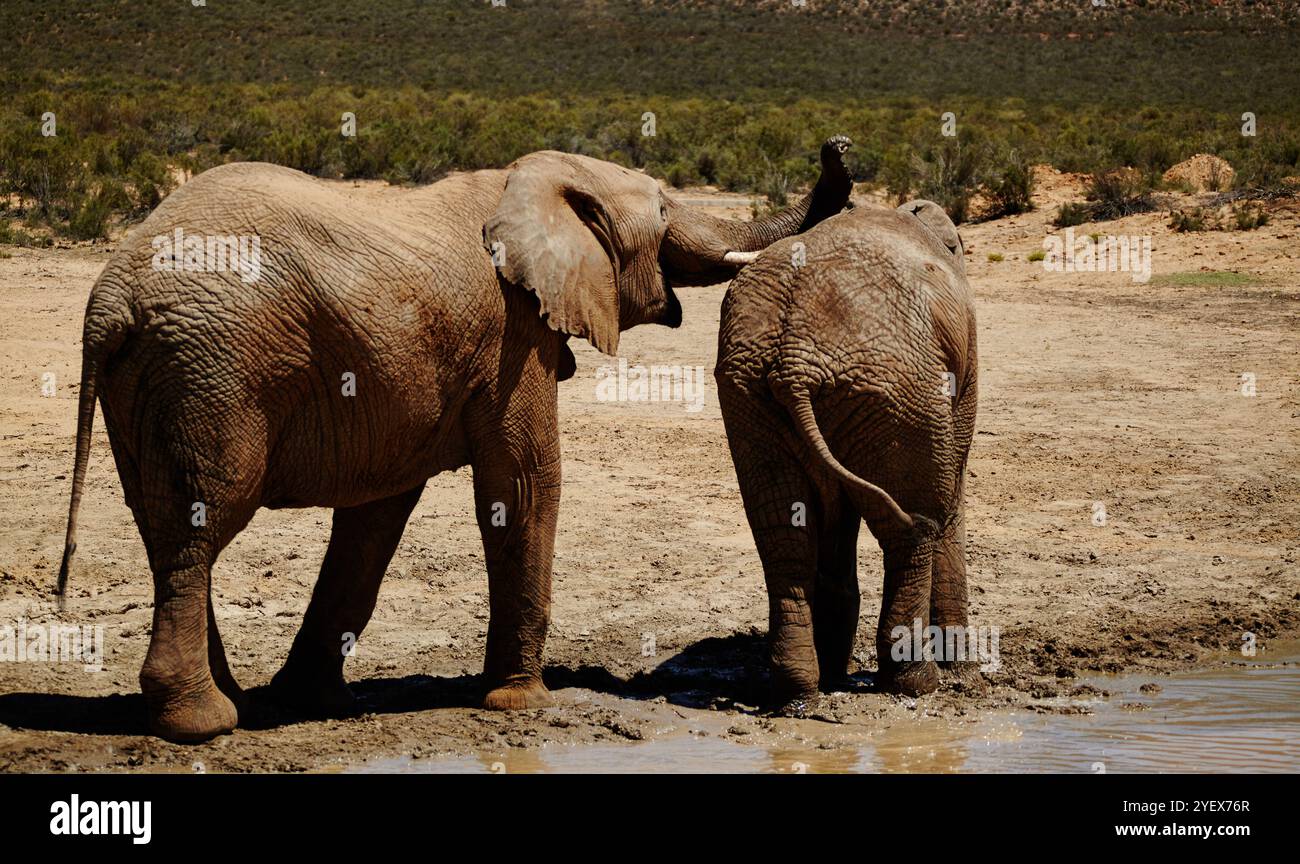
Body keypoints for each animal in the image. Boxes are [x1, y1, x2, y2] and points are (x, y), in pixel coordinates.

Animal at [56, 135, 856, 742]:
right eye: (662, 208)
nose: (837, 144)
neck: (528, 181)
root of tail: (110, 298)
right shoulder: (514, 331)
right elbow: (525, 483)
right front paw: (523, 703)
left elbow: (380, 510)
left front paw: (318, 703)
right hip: (211, 371)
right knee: (200, 527)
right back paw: (203, 724)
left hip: (163, 378)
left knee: (168, 532)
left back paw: (233, 703)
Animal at [713, 198, 977, 708]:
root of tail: (794, 359)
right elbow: (951, 496)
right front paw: (965, 672)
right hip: (899, 388)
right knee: (916, 524)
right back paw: (917, 682)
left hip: (750, 393)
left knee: (783, 530)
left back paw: (800, 690)